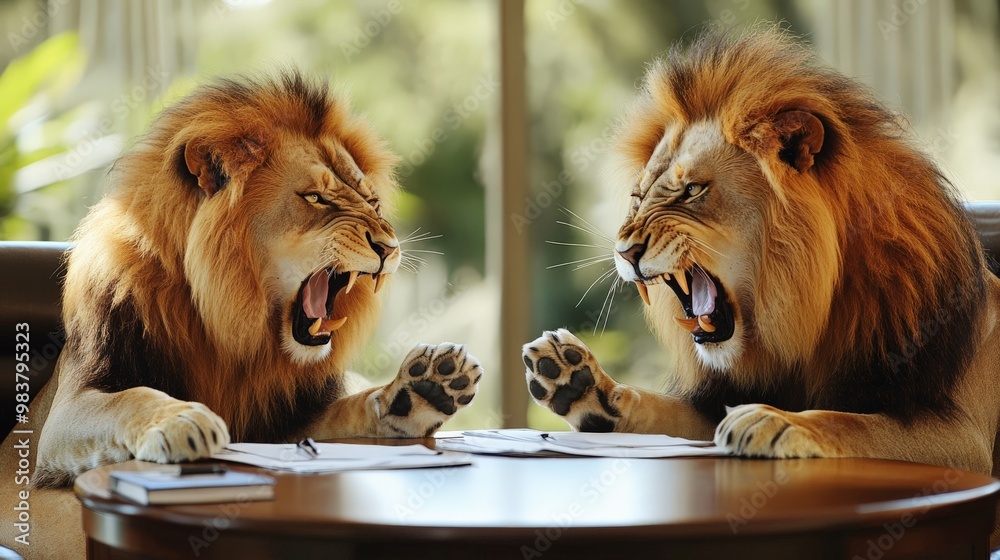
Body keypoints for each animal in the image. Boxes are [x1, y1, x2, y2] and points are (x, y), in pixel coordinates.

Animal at [0, 70, 482, 558]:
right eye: (317, 199)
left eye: (373, 202)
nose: (389, 247)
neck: (232, 326)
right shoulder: (64, 415)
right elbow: (130, 398)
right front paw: (183, 420)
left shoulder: (287, 423)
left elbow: (352, 409)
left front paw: (420, 393)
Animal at [524, 27, 1000, 486]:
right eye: (637, 198)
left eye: (691, 190)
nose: (625, 252)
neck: (805, 317)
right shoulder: (715, 402)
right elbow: (660, 409)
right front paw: (582, 385)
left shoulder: (964, 438)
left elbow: (854, 422)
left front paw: (779, 422)